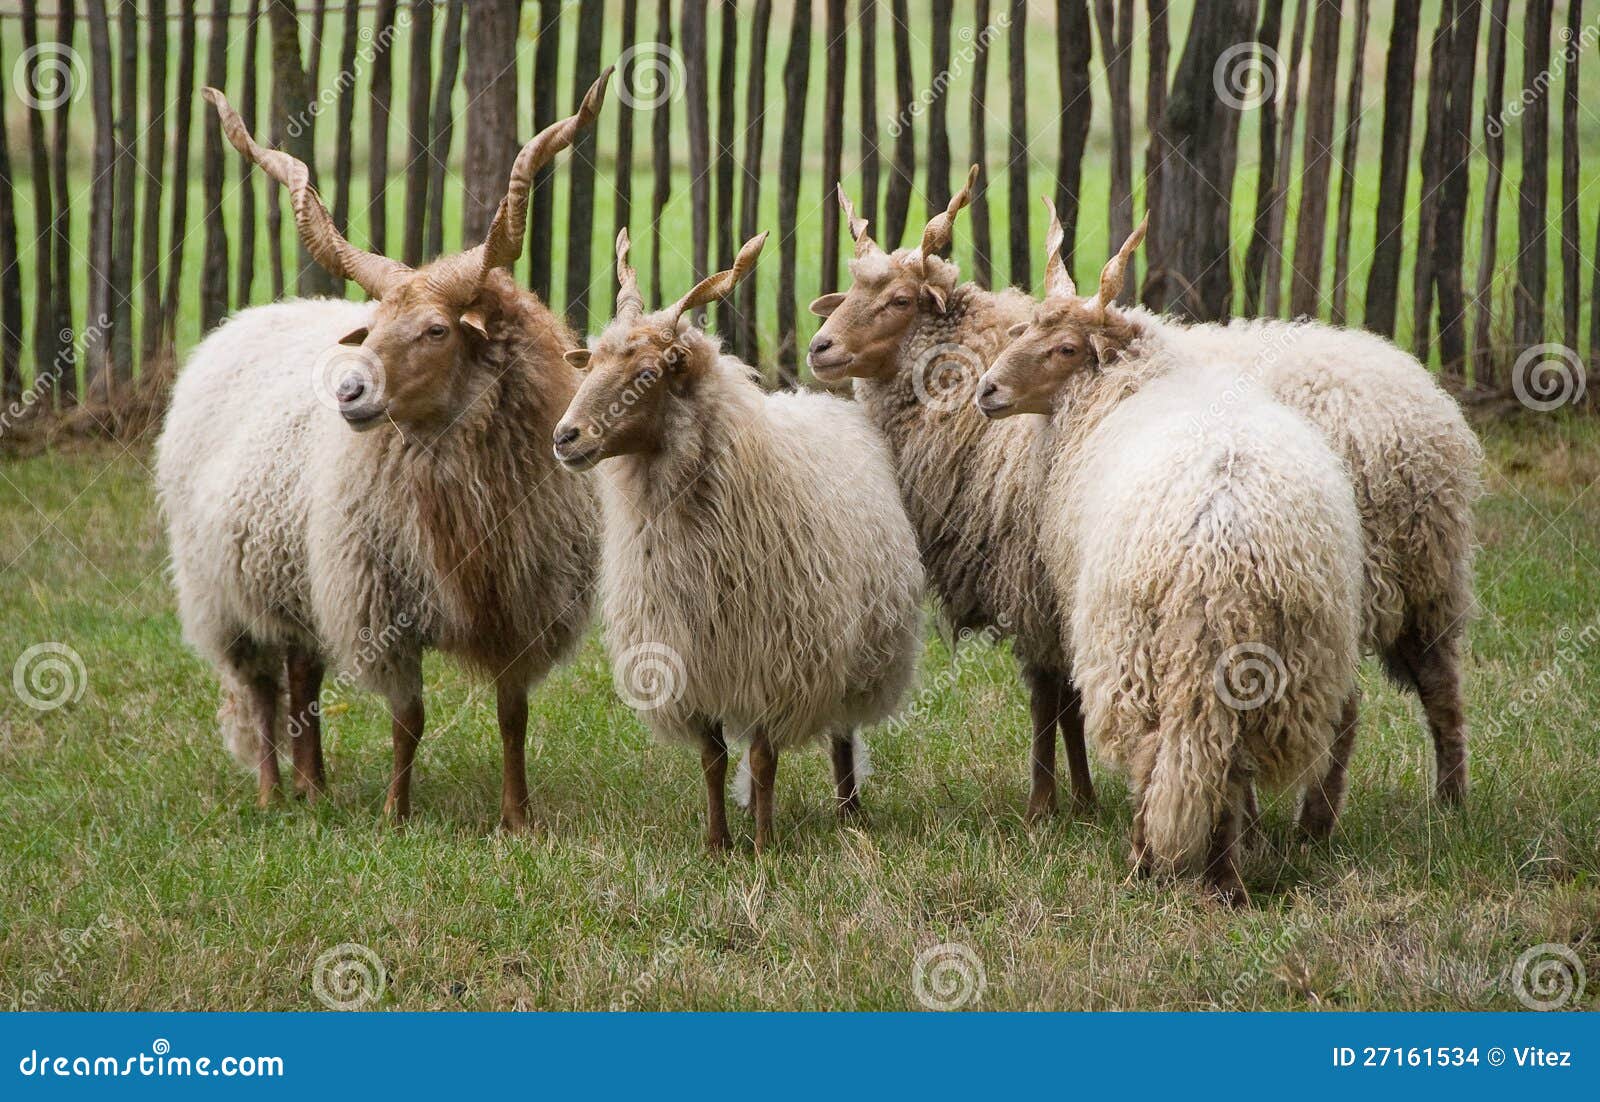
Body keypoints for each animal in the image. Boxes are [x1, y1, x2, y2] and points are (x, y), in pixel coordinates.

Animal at [154, 75, 611, 829]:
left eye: (436, 330)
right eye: (371, 329)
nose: (350, 392)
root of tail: (248, 317)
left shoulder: (521, 602)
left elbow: (513, 716)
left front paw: (517, 818)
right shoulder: (379, 606)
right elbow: (409, 720)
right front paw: (397, 814)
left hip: (298, 580)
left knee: (304, 676)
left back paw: (314, 786)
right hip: (227, 591)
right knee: (263, 691)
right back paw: (274, 792)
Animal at [553, 231, 924, 851]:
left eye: (648, 373)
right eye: (593, 363)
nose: (564, 437)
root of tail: (811, 397)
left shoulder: (776, 659)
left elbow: (765, 758)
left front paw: (765, 844)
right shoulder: (691, 664)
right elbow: (713, 759)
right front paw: (717, 843)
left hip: (860, 651)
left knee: (842, 734)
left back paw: (849, 810)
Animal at [806, 166, 1097, 822]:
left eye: (899, 300)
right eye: (849, 290)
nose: (819, 348)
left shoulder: (1034, 581)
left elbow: (1049, 696)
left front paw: (1045, 805)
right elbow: (1068, 698)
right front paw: (1083, 798)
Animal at [976, 221, 1363, 902]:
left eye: (1067, 348)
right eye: (1025, 330)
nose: (987, 390)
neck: (1127, 387)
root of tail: (1220, 548)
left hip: (1135, 644)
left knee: (1153, 749)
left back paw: (1142, 862)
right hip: (1274, 661)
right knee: (1229, 764)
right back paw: (1226, 880)